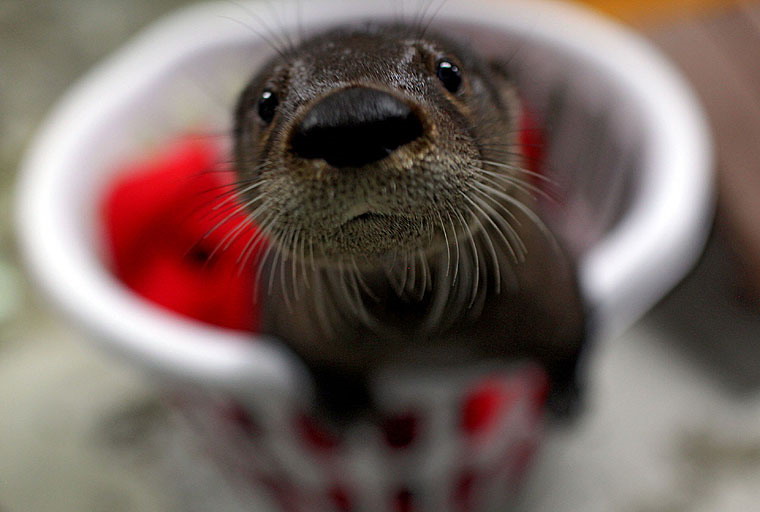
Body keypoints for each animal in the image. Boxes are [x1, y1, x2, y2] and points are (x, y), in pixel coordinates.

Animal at [232, 23, 587, 423]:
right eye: (266, 102)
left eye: (450, 71)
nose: (355, 117)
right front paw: (343, 403)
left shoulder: (556, 287)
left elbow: (571, 336)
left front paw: (564, 392)